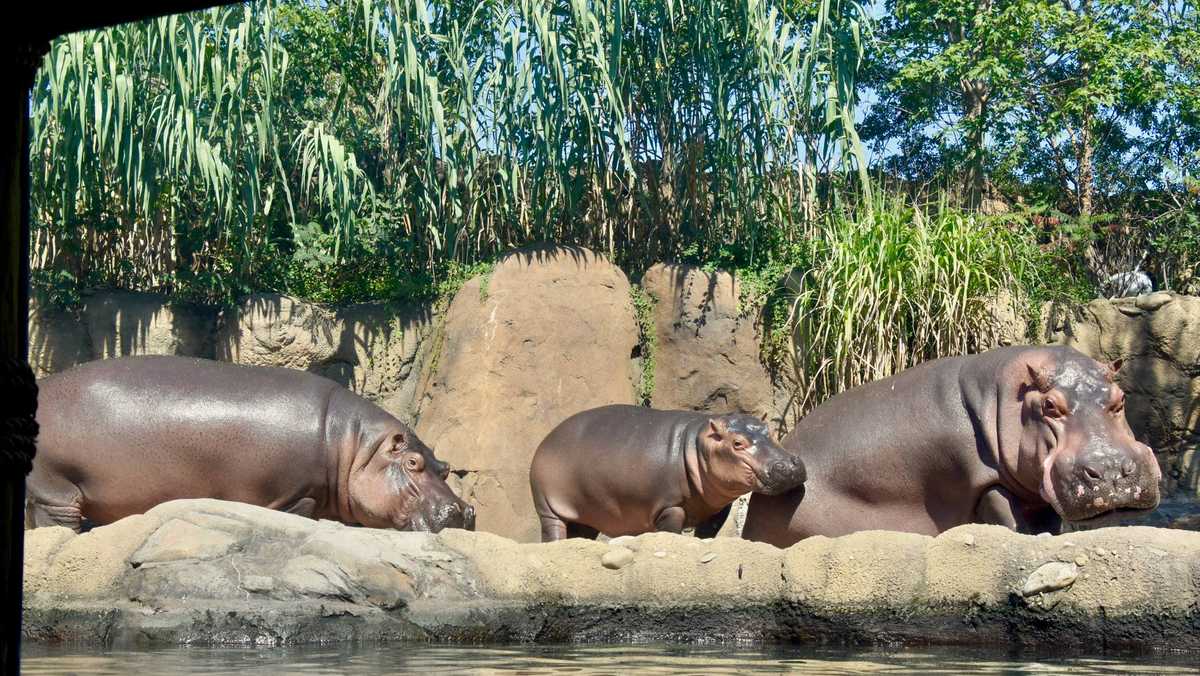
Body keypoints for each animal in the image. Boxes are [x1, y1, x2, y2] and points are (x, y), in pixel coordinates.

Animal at [27, 355, 475, 533]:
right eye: (413, 463)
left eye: (445, 467)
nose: (464, 511)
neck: (353, 448)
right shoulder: (291, 493)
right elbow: (300, 510)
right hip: (56, 486)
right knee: (57, 519)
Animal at [530, 404, 806, 542]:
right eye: (737, 443)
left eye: (768, 430)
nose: (790, 465)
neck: (697, 446)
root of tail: (546, 439)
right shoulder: (669, 506)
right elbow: (671, 530)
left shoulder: (717, 507)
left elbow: (709, 531)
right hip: (547, 505)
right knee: (553, 530)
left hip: (586, 515)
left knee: (580, 532)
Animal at [741, 345, 1161, 547]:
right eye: (1050, 406)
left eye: (1120, 398)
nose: (1111, 472)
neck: (1006, 398)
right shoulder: (987, 485)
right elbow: (1008, 518)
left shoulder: (1038, 496)